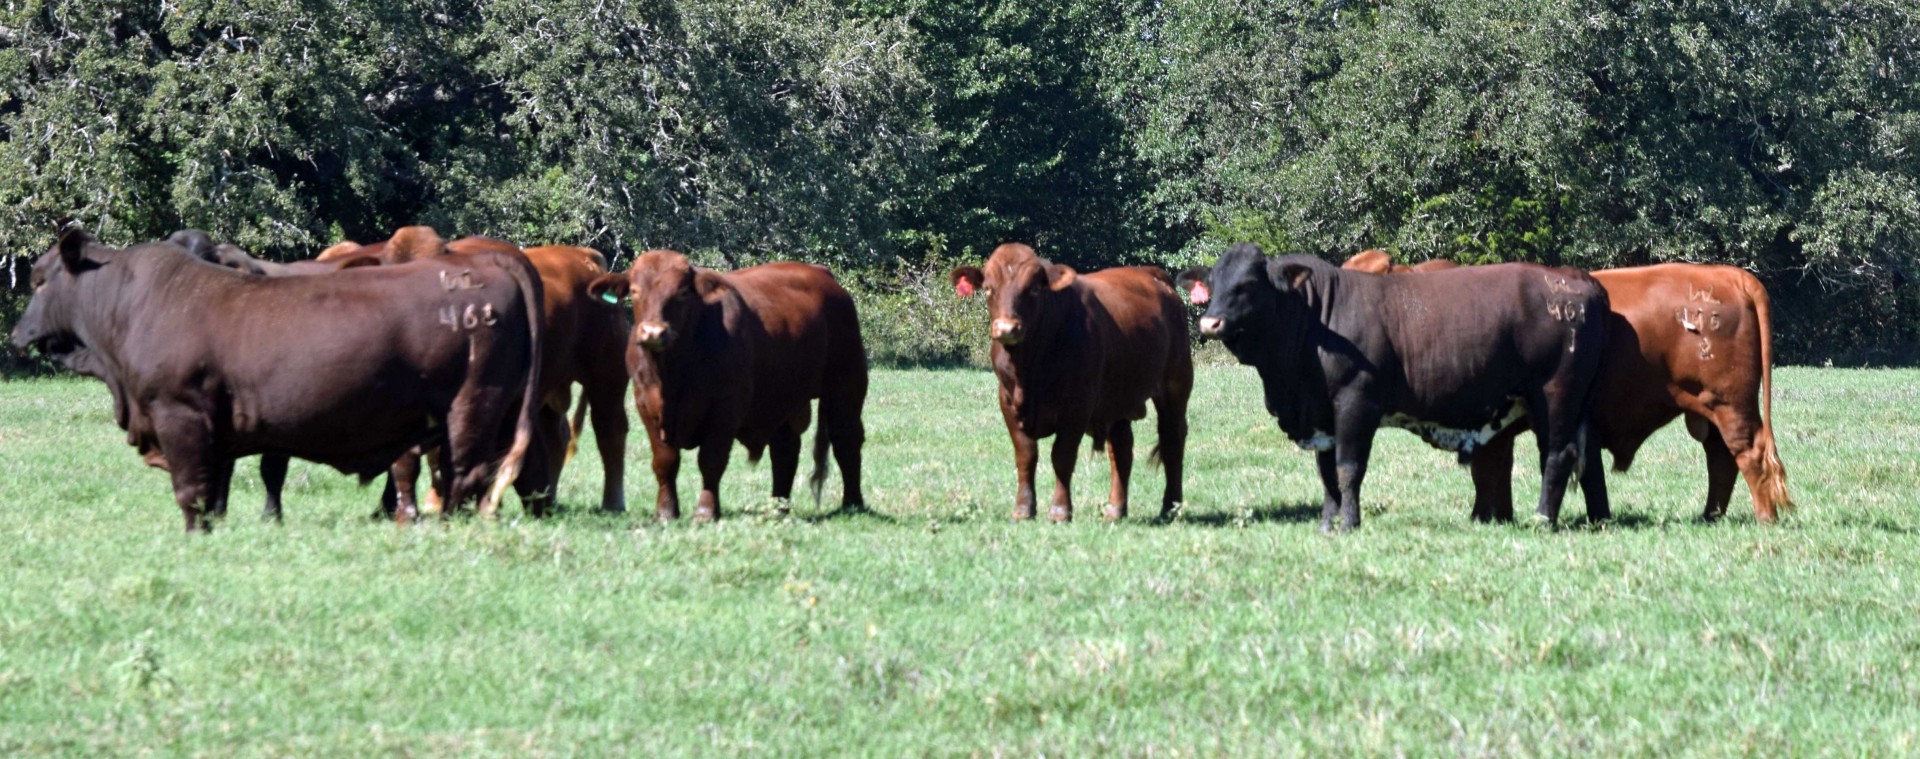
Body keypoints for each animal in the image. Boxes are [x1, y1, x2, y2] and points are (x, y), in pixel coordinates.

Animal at [10, 227, 545, 531]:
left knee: (465, 474)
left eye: (39, 279)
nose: (16, 333)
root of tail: (486, 263)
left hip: (473, 404)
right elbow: (218, 487)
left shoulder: (179, 415)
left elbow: (192, 491)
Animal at [587, 250, 867, 521]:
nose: (653, 332)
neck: (673, 373)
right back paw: (778, 508)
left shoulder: (725, 409)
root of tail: (822, 273)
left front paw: (706, 512)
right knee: (785, 449)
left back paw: (852, 504)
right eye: (635, 290)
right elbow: (665, 461)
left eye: (682, 292)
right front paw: (666, 512)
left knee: (846, 440)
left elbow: (711, 461)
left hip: (846, 385)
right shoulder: (647, 405)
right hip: (782, 399)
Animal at [949, 243, 1192, 522]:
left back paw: (1170, 508)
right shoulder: (1008, 402)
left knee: (1172, 441)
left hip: (1175, 385)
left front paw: (1059, 511)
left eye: (1034, 288)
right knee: (1121, 450)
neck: (1030, 369)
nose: (1007, 328)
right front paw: (1023, 509)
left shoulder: (1077, 405)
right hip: (1118, 399)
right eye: (988, 288)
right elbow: (1025, 455)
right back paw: (1115, 510)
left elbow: (1062, 456)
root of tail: (1152, 274)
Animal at [1180, 243, 1611, 531]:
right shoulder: (1322, 415)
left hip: (1556, 396)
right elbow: (1327, 474)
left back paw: (1542, 519)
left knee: (1557, 455)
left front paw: (1349, 523)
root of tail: (1575, 280)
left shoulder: (1356, 402)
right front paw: (1327, 524)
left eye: (1249, 284)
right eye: (1212, 283)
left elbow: (1349, 469)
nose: (1210, 323)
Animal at [1339, 251, 1792, 522]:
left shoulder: (1491, 422)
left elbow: (1488, 471)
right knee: (1722, 460)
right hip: (1709, 413)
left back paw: (1764, 518)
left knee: (1749, 454)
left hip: (1729, 404)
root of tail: (1728, 274)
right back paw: (1709, 515)